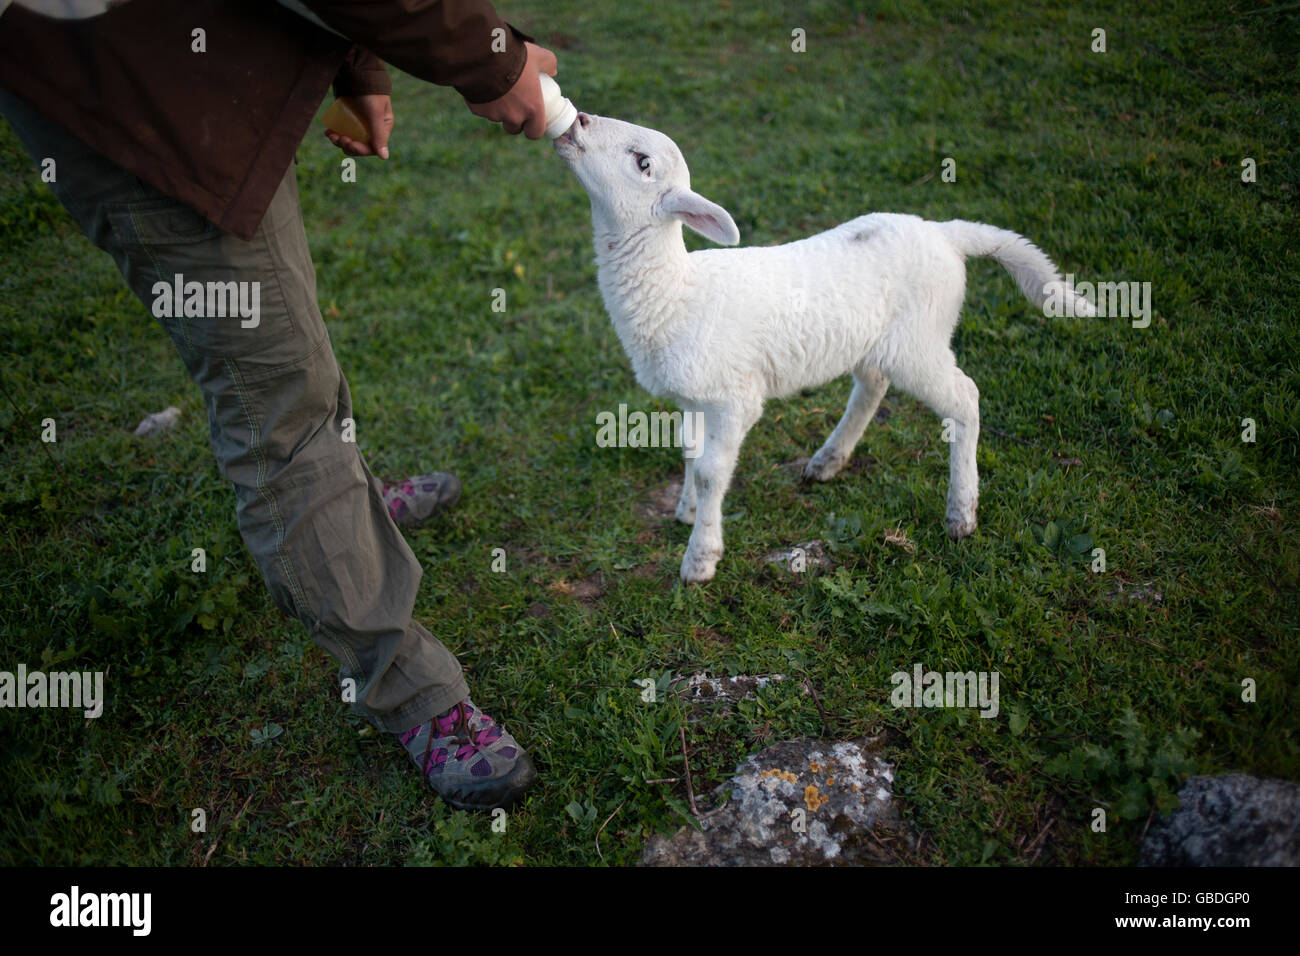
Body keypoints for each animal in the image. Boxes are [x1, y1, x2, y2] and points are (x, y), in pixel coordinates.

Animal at [554, 113, 1094, 583]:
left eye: (642, 162)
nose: (577, 119)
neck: (676, 292)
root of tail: (944, 233)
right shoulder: (695, 394)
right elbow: (689, 451)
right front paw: (686, 510)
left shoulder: (735, 398)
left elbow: (710, 471)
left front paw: (700, 559)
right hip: (880, 341)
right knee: (873, 385)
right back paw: (829, 460)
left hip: (920, 338)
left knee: (964, 398)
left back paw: (961, 513)